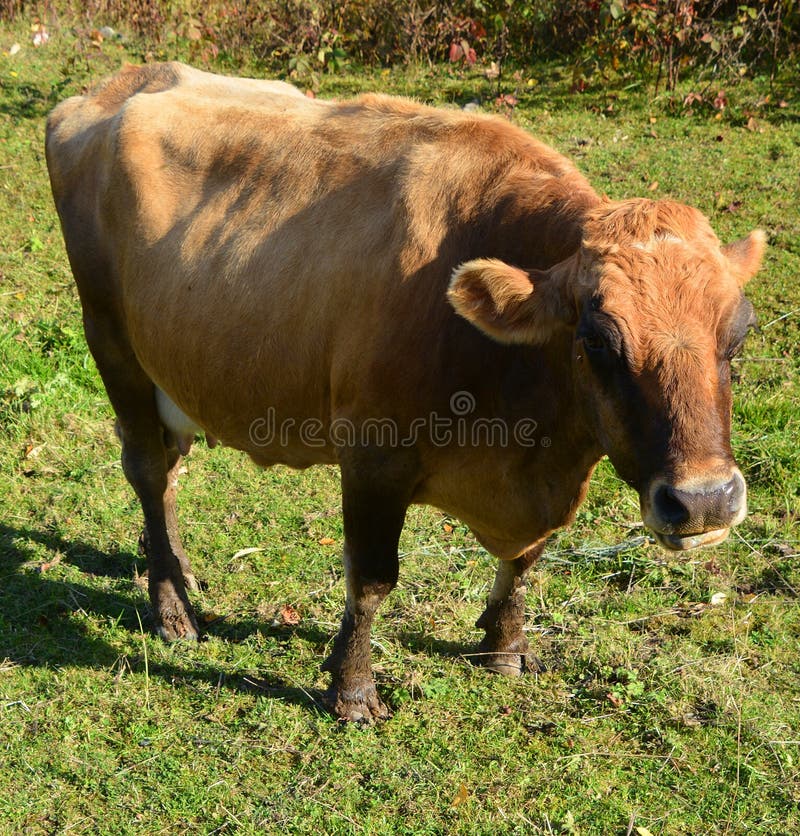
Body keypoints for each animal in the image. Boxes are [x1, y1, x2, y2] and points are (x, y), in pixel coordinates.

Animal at [45, 62, 764, 721]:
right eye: (595, 342)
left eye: (738, 337)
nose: (704, 501)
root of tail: (119, 83)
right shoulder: (372, 457)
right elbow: (371, 579)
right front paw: (352, 689)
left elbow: (526, 561)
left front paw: (505, 646)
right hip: (112, 342)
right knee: (148, 468)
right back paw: (172, 608)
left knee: (171, 469)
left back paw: (175, 567)